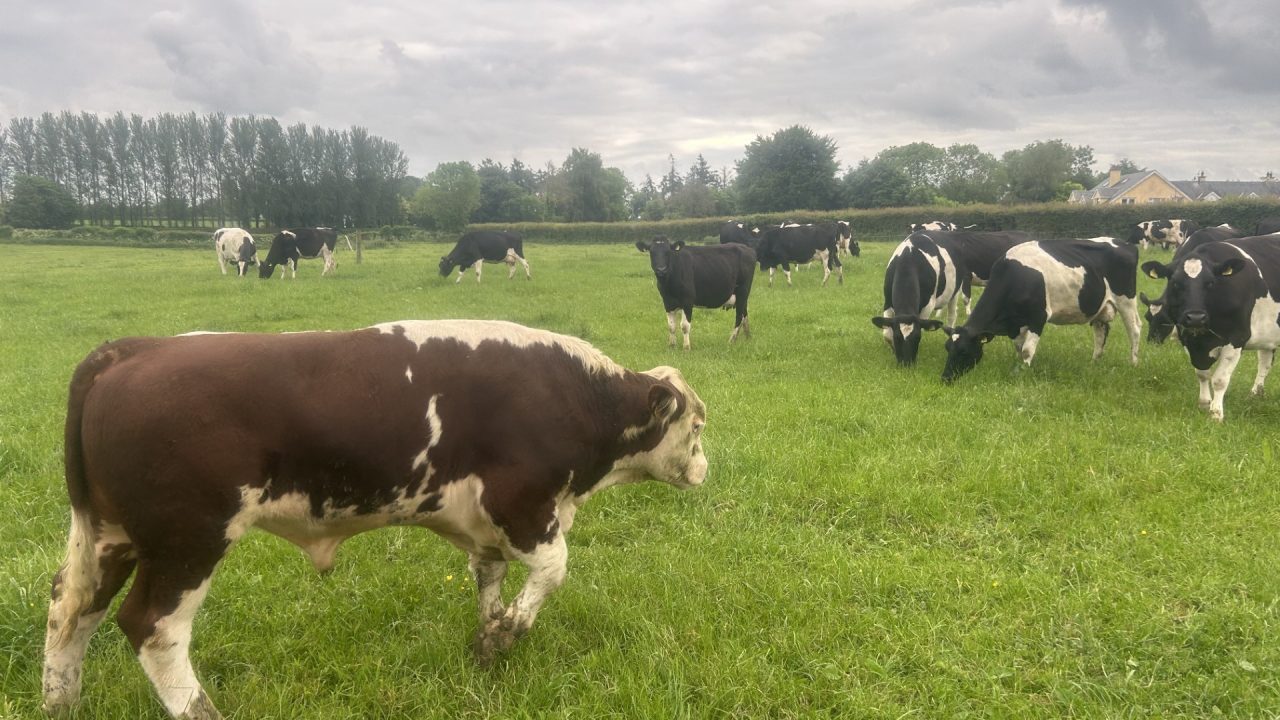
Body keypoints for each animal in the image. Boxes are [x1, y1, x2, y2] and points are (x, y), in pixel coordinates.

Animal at [41, 320, 708, 719]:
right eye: (698, 424)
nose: (706, 468)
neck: (576, 397)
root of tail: (134, 349)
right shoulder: (522, 504)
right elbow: (552, 571)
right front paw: (505, 635)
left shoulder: (486, 525)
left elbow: (489, 580)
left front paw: (486, 642)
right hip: (188, 538)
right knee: (153, 627)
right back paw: (198, 708)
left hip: (109, 536)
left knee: (69, 609)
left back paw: (60, 702)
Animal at [870, 232, 968, 366]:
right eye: (897, 337)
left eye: (917, 337)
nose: (906, 363)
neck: (908, 261)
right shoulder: (887, 302)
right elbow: (886, 333)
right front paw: (893, 350)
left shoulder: (928, 306)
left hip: (956, 291)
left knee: (952, 315)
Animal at [941, 237, 1141, 383]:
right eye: (947, 348)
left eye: (964, 351)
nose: (946, 378)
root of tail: (1125, 244)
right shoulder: (1017, 323)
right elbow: (1019, 347)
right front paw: (1018, 366)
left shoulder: (1038, 317)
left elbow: (1027, 350)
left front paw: (1023, 372)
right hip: (1101, 307)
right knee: (1101, 332)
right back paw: (1094, 362)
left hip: (1127, 300)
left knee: (1135, 330)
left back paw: (1133, 363)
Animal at [1141, 236, 1280, 420]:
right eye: (1176, 283)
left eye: (1210, 283)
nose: (1195, 317)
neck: (1203, 339)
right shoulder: (1188, 339)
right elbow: (1202, 374)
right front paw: (1204, 404)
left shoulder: (1237, 338)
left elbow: (1220, 379)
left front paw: (1216, 413)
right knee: (1265, 361)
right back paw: (1255, 394)